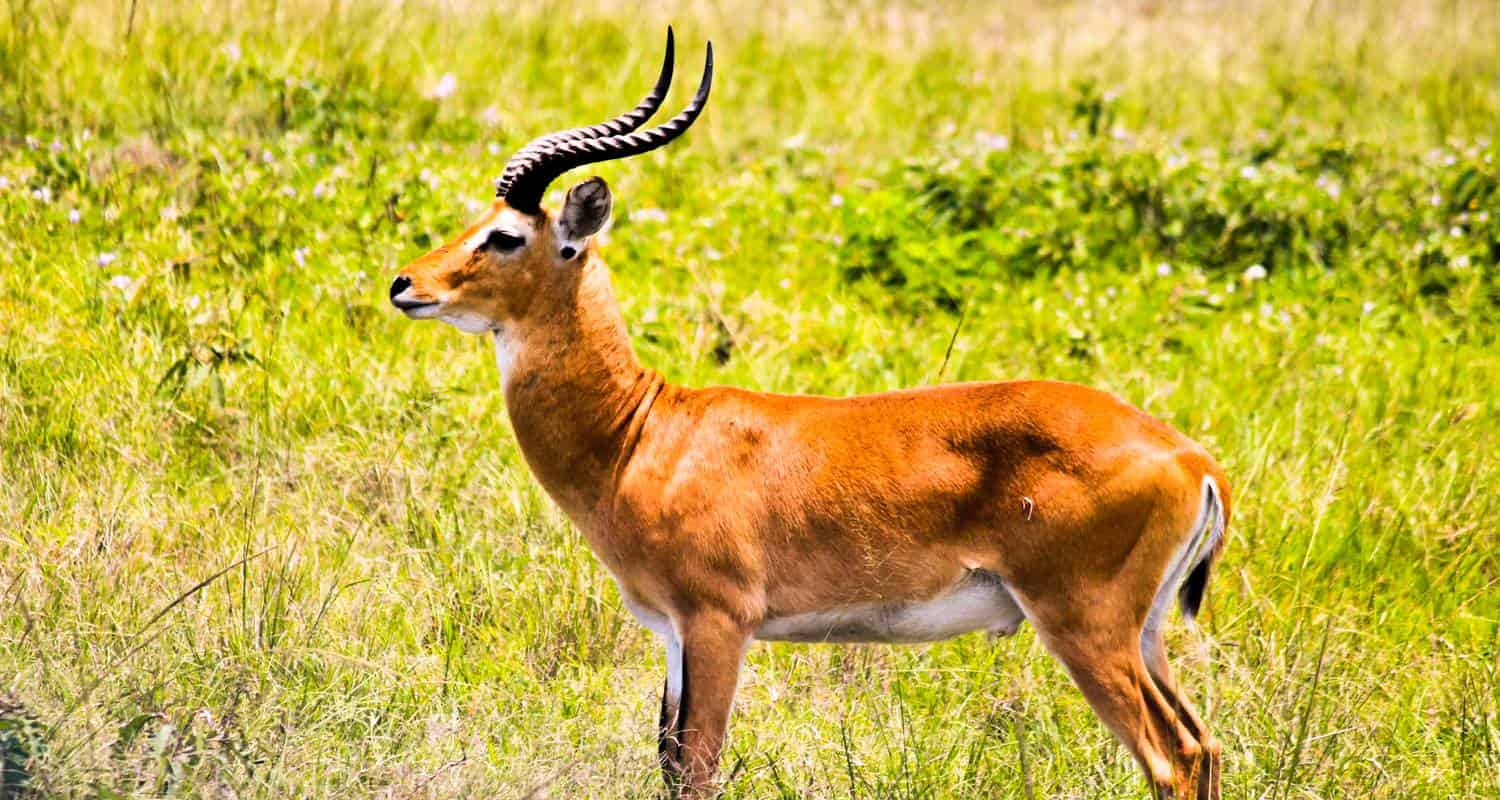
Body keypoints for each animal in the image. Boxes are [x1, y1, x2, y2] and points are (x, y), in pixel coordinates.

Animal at [389, 30, 1231, 800]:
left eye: (505, 235)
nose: (405, 284)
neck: (642, 434)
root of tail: (1191, 459)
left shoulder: (718, 622)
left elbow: (698, 770)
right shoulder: (672, 635)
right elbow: (669, 764)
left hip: (1085, 626)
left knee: (1173, 758)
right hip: (1145, 633)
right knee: (1206, 746)